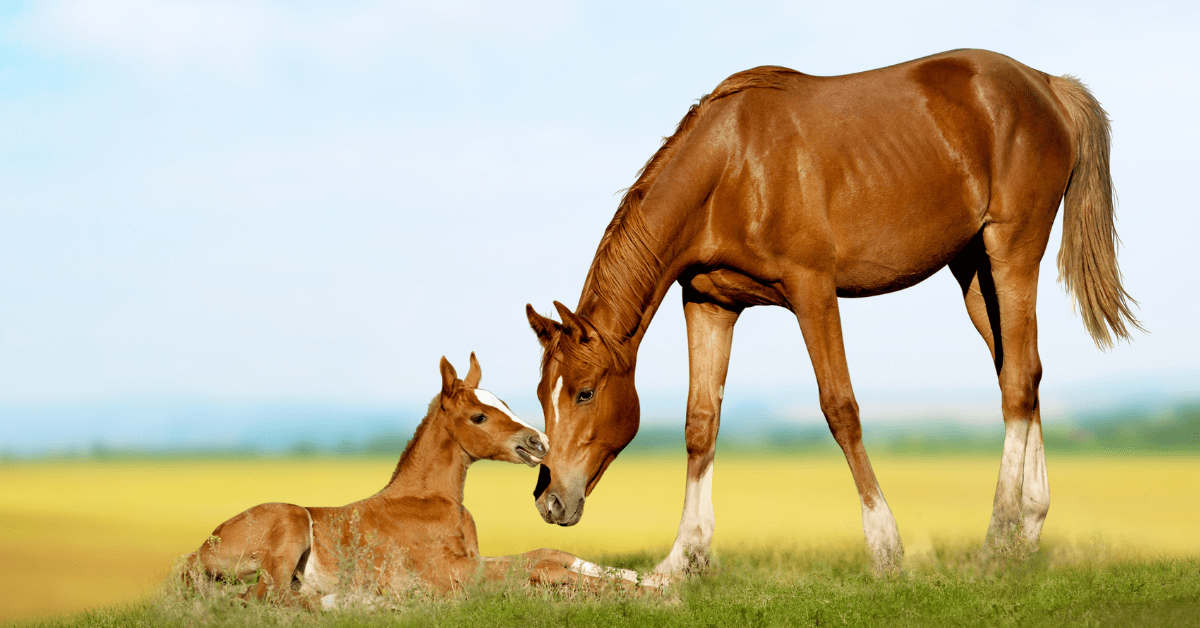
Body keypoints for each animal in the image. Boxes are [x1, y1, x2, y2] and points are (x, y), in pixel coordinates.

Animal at [183, 354, 644, 606]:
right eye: (479, 416)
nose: (539, 441)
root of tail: (197, 553)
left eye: (504, 402)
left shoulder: (474, 559)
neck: (430, 502)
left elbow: (548, 553)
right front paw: (649, 593)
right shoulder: (449, 571)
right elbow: (542, 565)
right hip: (291, 522)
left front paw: (645, 580)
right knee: (266, 599)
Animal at [523, 49, 1140, 573]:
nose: (550, 499)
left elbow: (840, 408)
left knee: (1017, 381)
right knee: (1024, 375)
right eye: (541, 395)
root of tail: (1045, 84)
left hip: (1012, 250)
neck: (731, 168)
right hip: (973, 271)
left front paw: (886, 547)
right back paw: (1027, 532)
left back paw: (999, 535)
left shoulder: (812, 291)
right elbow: (701, 423)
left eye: (585, 393)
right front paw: (682, 558)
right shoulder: (709, 302)